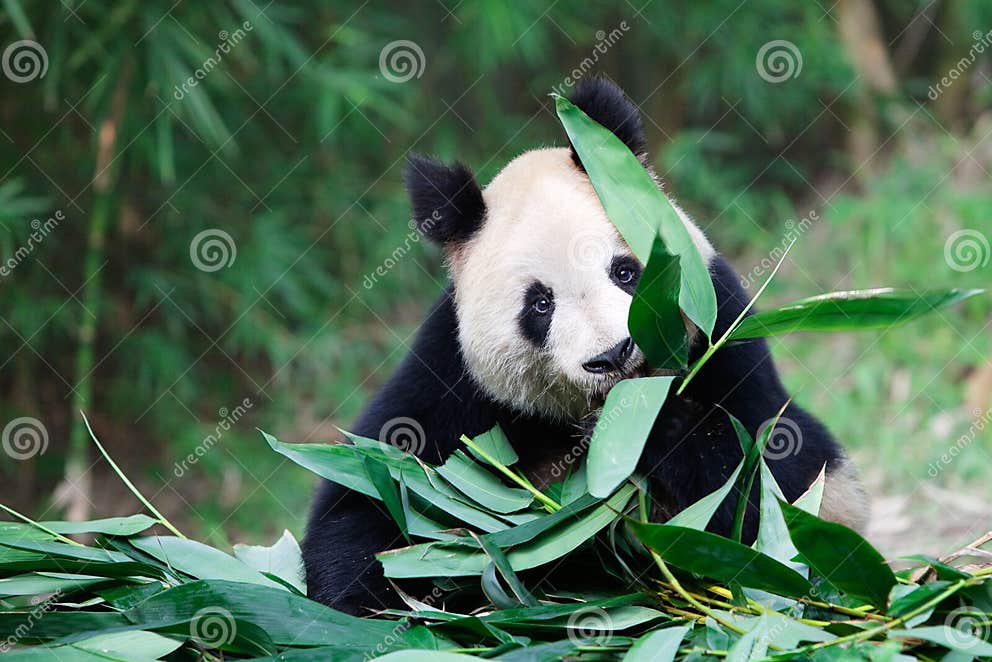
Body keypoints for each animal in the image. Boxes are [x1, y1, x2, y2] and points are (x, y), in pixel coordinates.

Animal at [303, 77, 867, 615]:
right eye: (540, 304)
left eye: (625, 272)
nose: (613, 354)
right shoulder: (451, 375)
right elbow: (369, 492)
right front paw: (363, 607)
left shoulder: (723, 332)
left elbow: (779, 485)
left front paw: (653, 425)